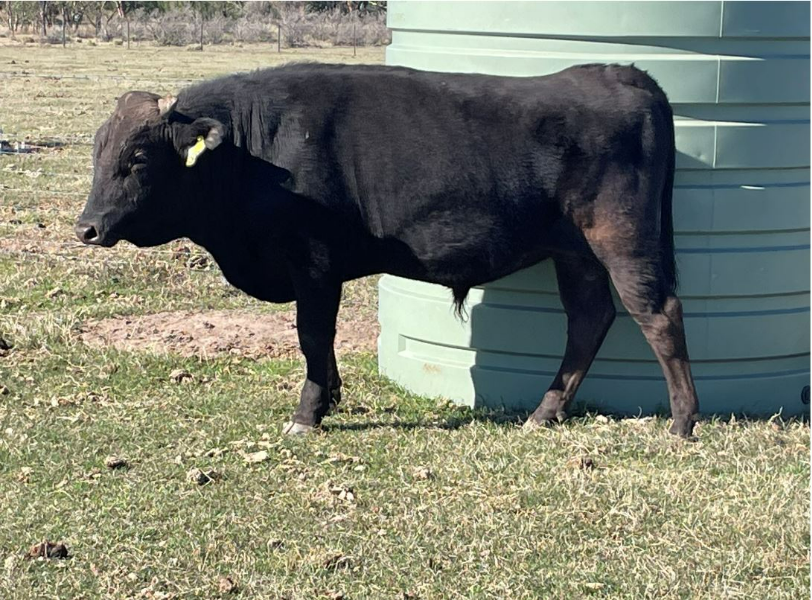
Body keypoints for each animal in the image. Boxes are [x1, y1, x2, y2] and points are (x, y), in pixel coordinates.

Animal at [75, 63, 700, 438]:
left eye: (137, 159)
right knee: (589, 320)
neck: (257, 150)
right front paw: (331, 396)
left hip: (622, 239)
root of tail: (614, 72)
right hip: (574, 253)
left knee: (658, 314)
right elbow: (320, 343)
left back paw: (681, 423)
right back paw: (545, 414)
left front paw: (308, 413)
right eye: (97, 153)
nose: (87, 228)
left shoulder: (313, 263)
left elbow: (312, 335)